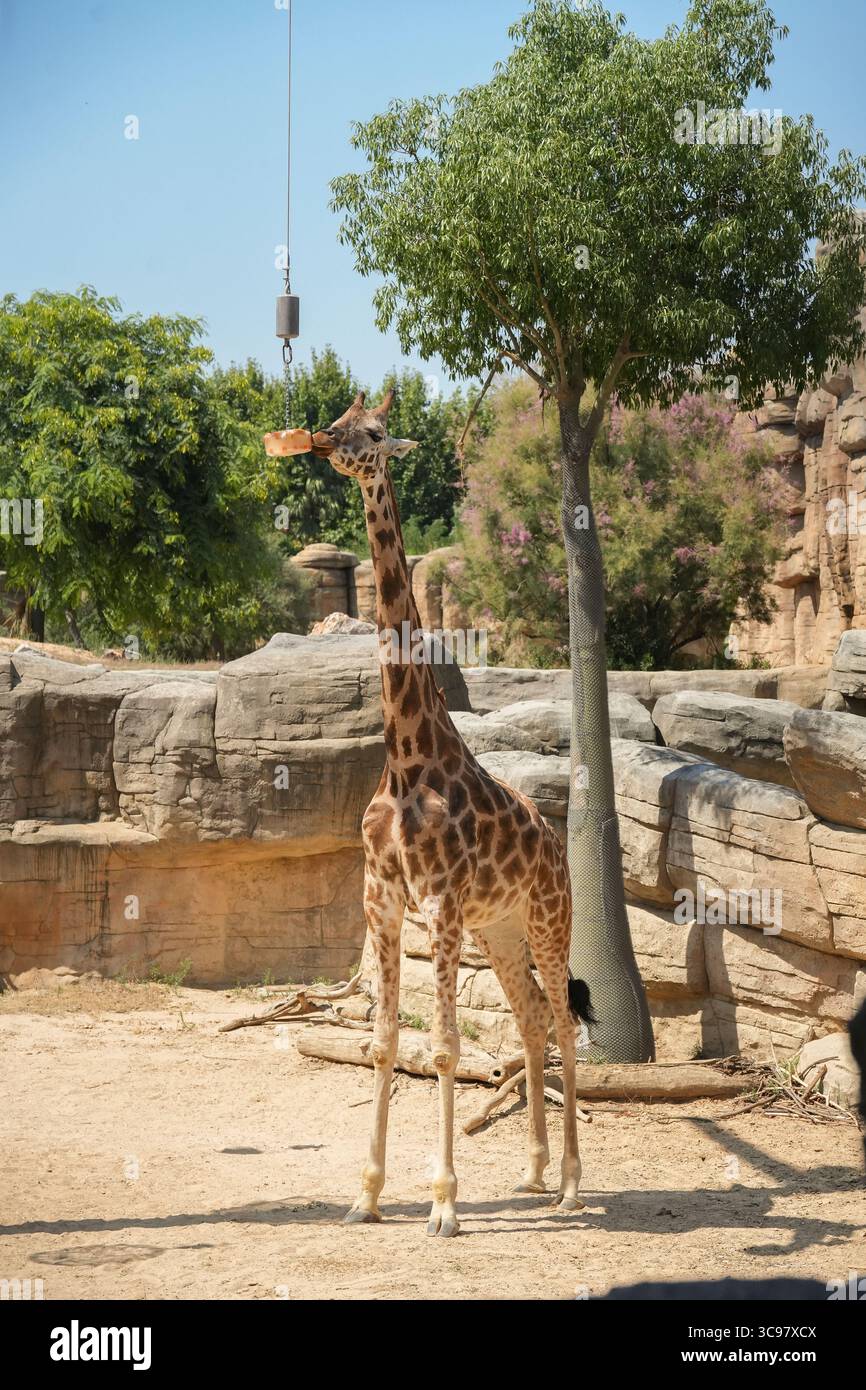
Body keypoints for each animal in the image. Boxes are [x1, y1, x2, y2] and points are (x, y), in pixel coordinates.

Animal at [264, 391, 595, 1236]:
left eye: (376, 432)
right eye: (338, 416)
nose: (323, 443)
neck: (410, 753)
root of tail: (553, 839)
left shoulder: (439, 902)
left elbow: (443, 1047)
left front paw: (443, 1203)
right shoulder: (383, 897)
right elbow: (385, 1043)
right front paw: (367, 1195)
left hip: (548, 916)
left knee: (565, 1023)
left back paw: (572, 1186)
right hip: (500, 929)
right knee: (532, 1018)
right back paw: (534, 1172)